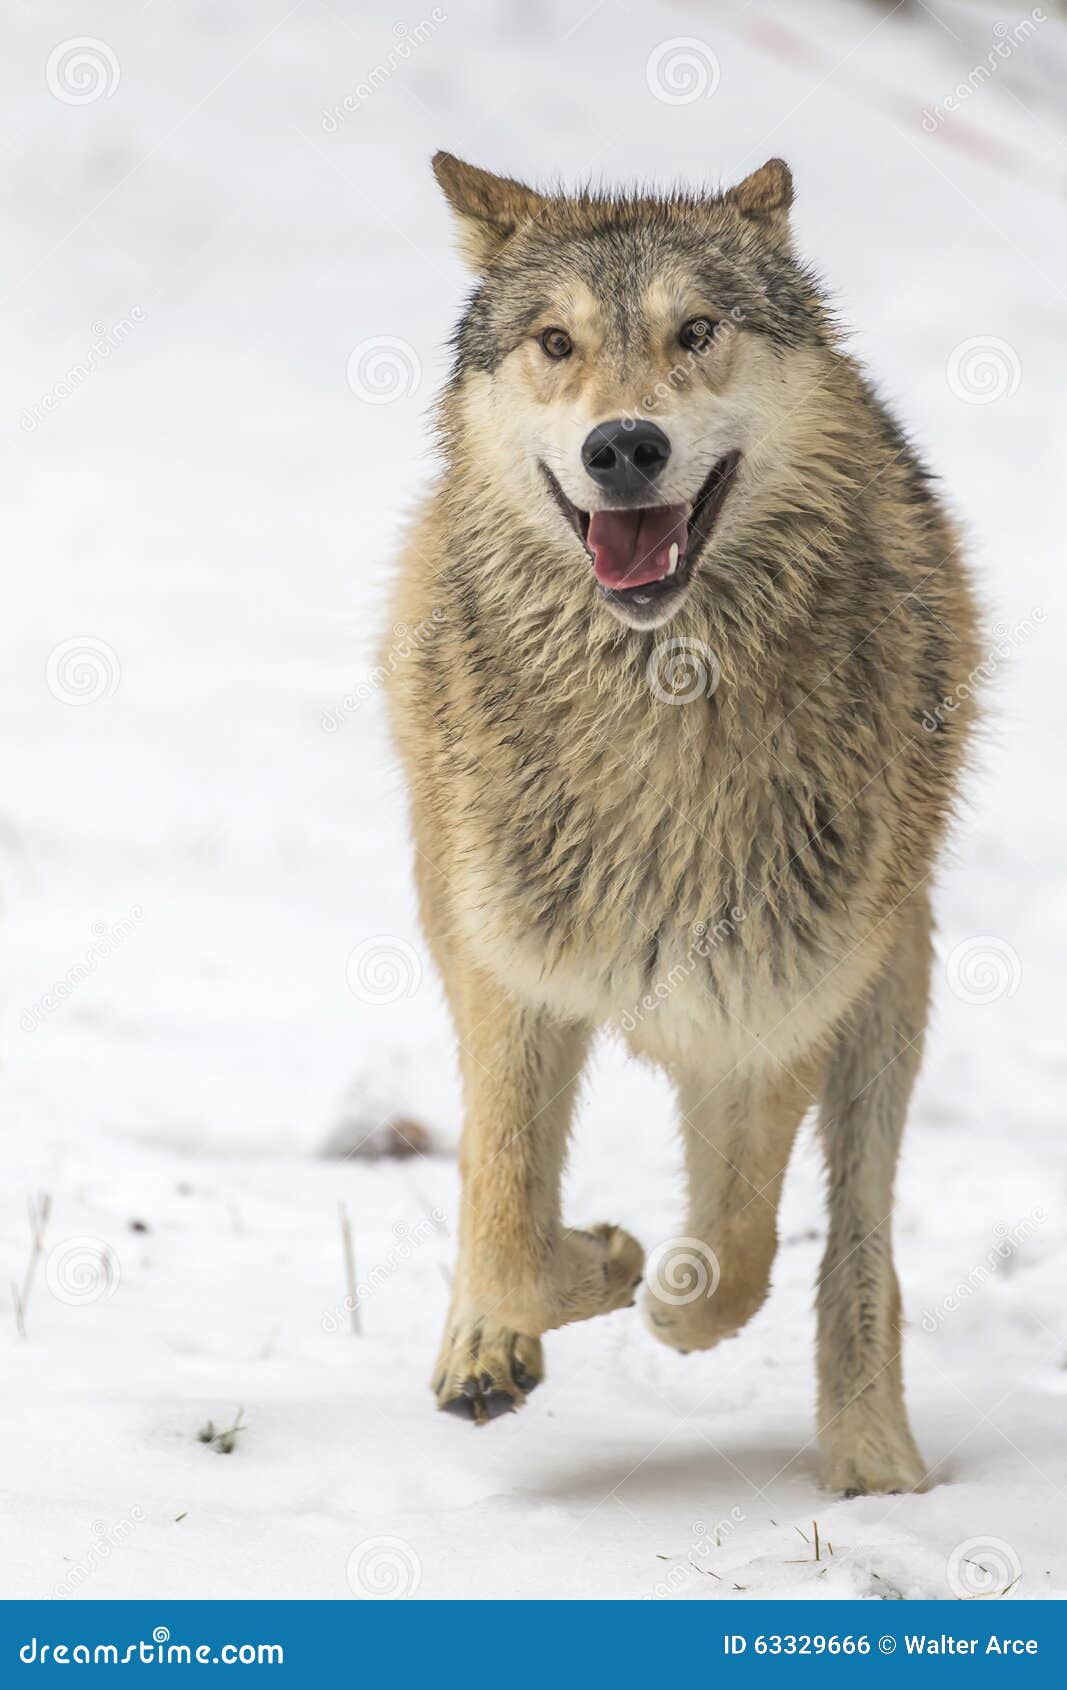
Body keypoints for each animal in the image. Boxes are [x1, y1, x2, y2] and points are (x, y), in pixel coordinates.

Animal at [385, 151, 979, 1495]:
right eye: (555, 342)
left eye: (695, 332)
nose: (623, 444)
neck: (658, 720)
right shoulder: (514, 971)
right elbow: (503, 1213)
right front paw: (547, 1297)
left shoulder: (765, 1008)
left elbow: (733, 1264)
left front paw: (651, 1284)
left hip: (888, 985)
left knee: (854, 1239)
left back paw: (871, 1451)